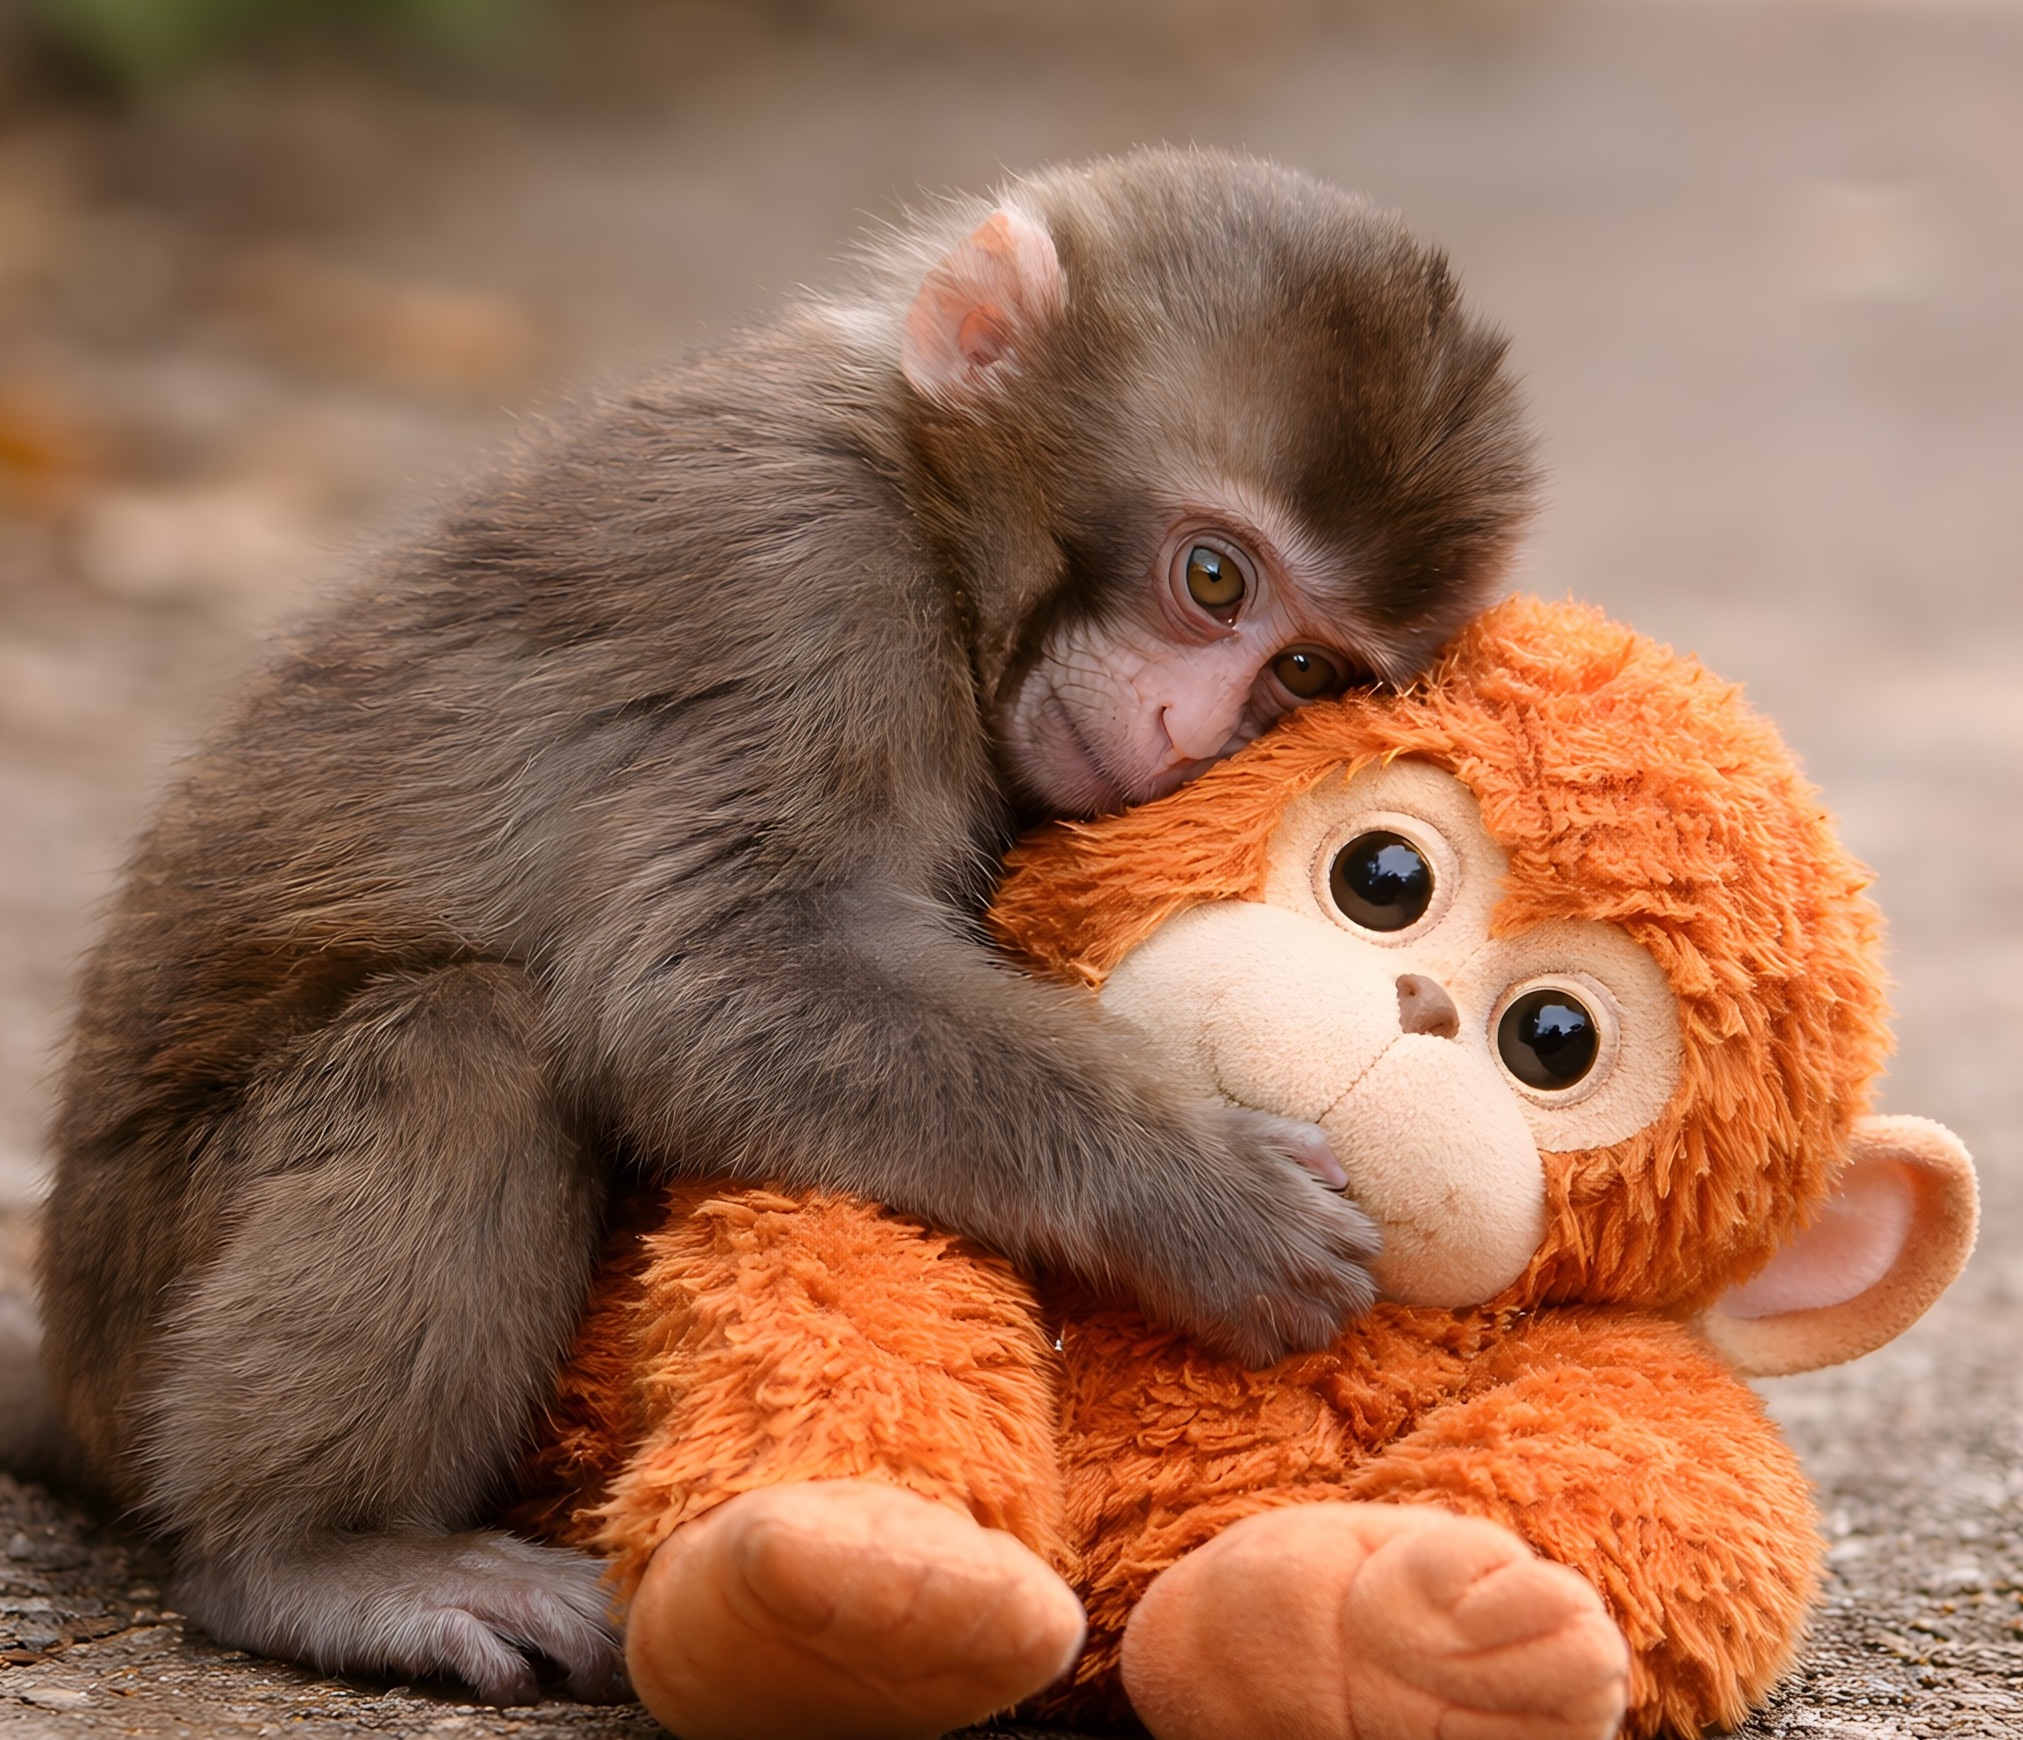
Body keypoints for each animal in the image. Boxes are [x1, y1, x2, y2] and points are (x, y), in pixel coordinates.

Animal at [33, 148, 1537, 1703]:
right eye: (1213, 578)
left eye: (1302, 673)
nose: (1188, 734)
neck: (928, 511)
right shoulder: (813, 586)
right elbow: (697, 979)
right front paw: (1202, 1194)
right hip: (152, 1270)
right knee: (460, 1046)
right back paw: (311, 1555)